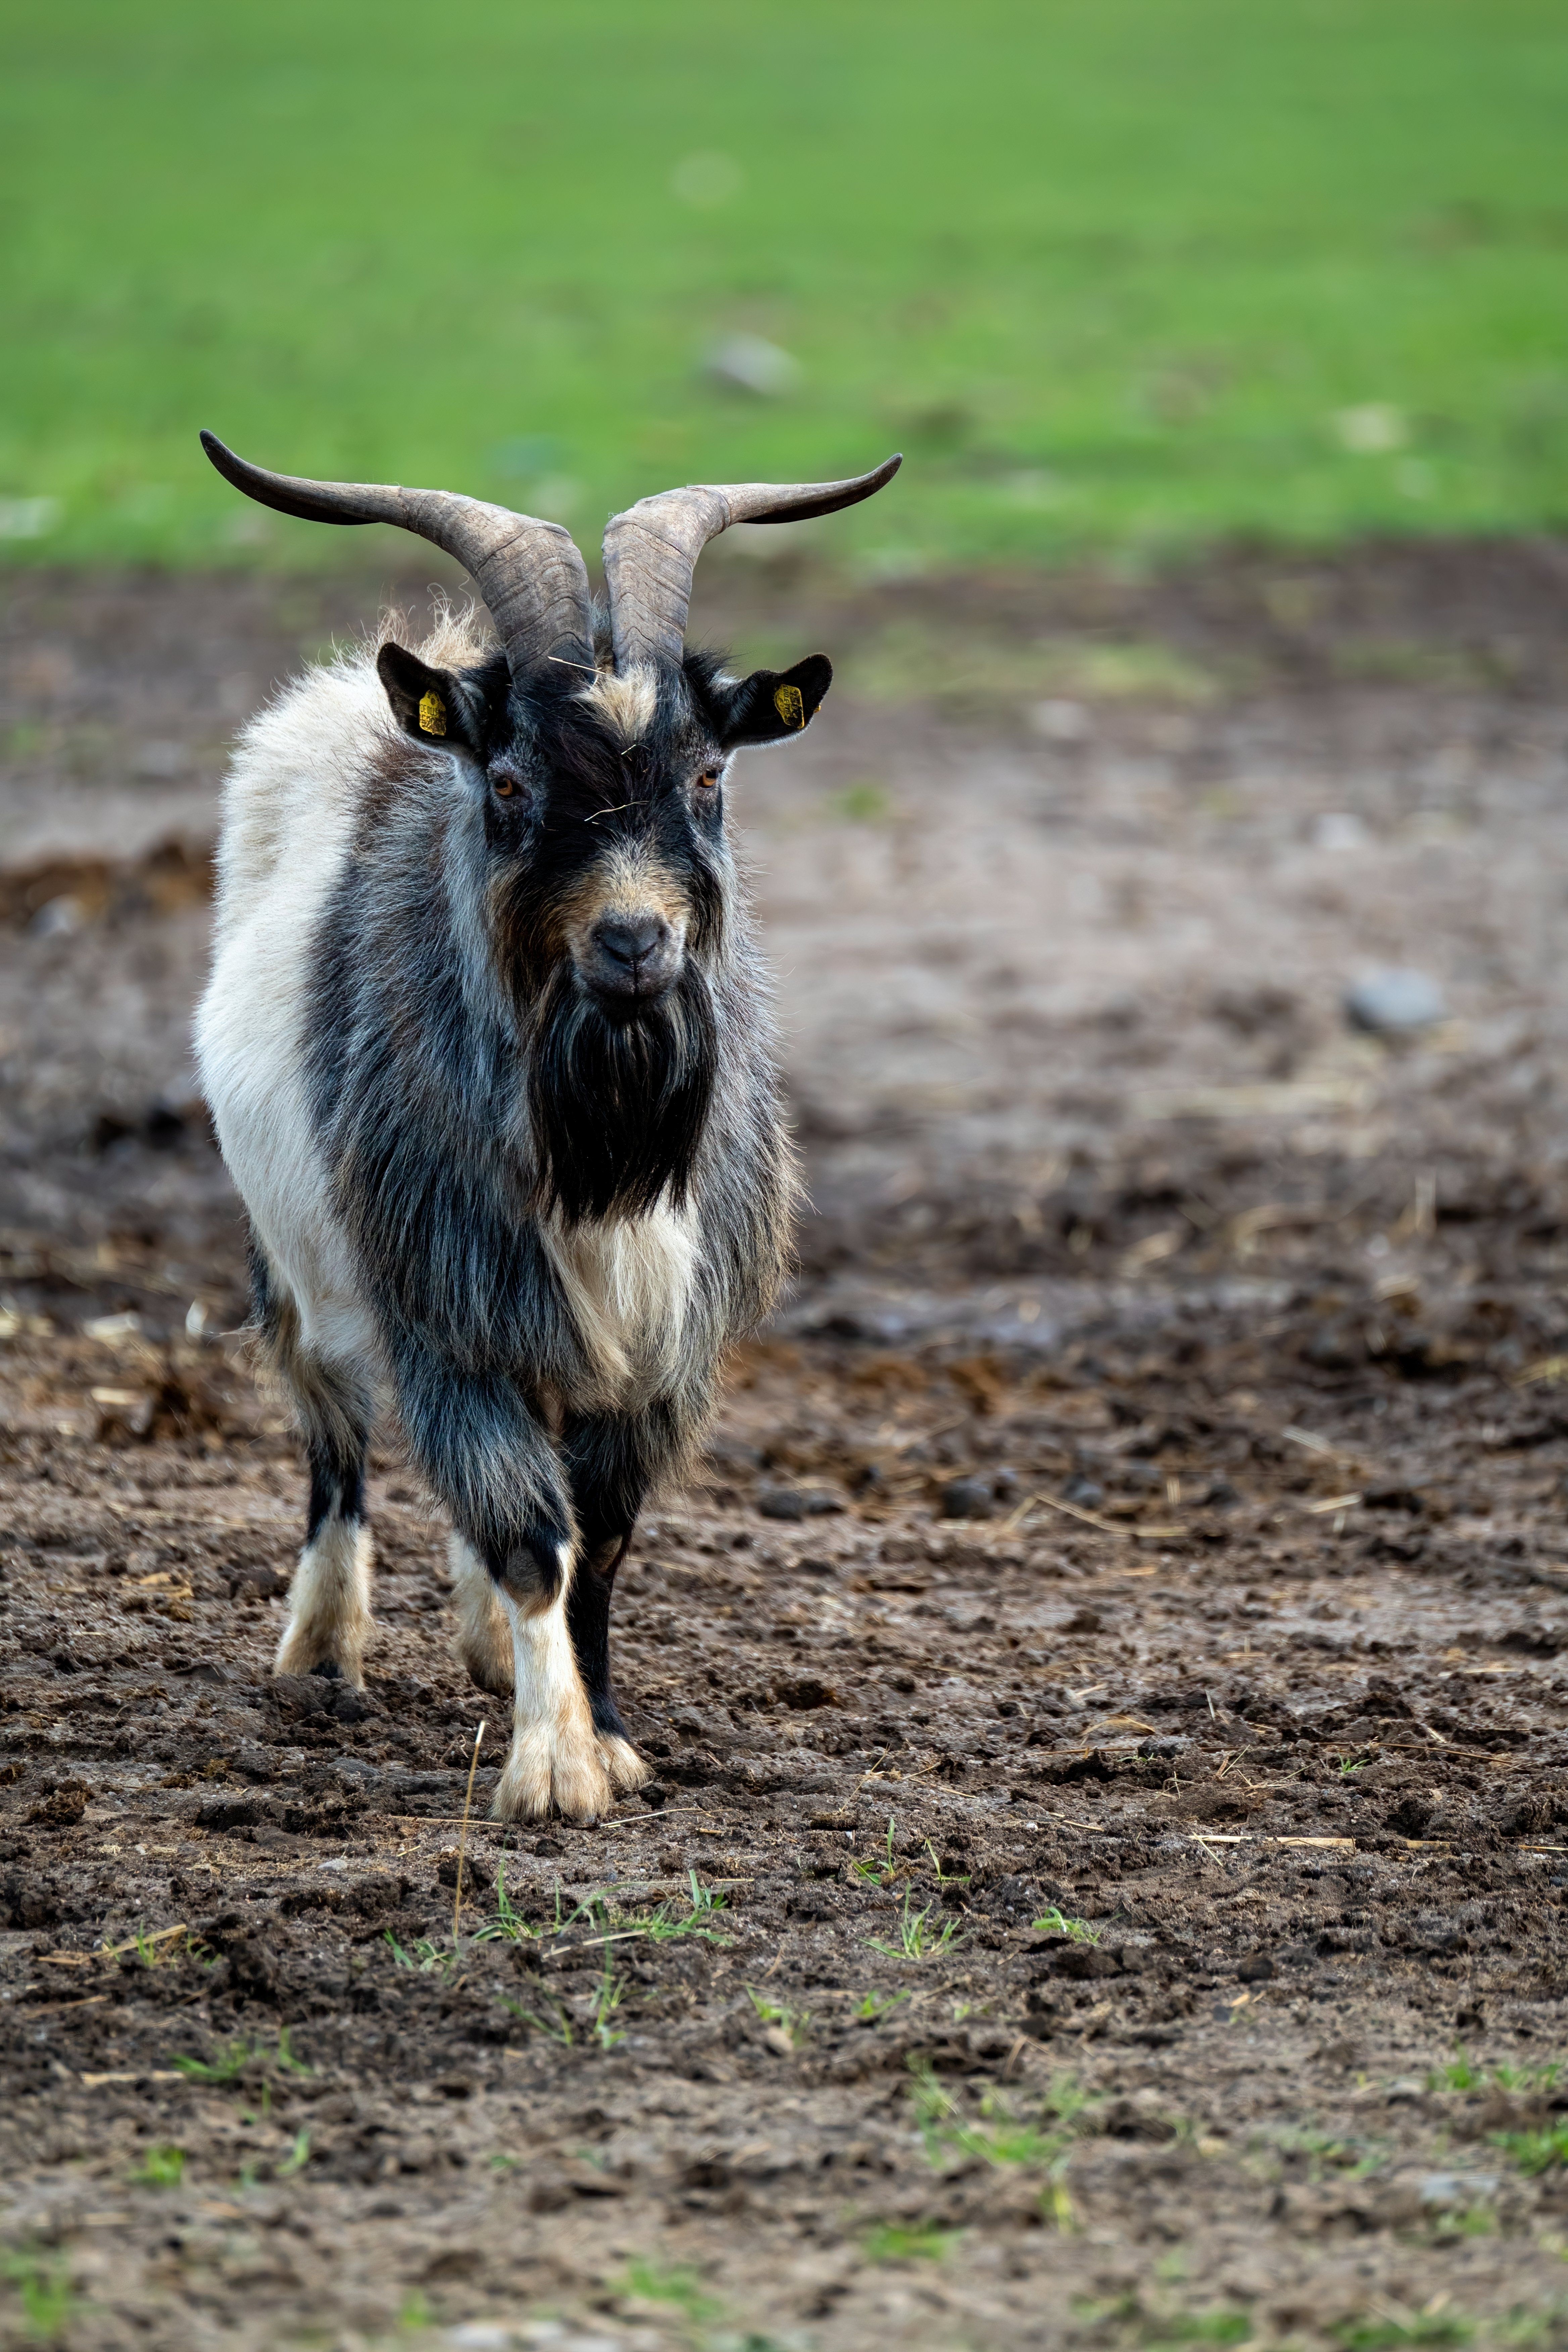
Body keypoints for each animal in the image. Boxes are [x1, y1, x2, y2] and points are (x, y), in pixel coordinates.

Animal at [193, 431, 900, 1820]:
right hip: (293, 1255)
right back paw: (322, 1650)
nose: (633, 942)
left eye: (705, 775)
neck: (600, 1137)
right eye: (514, 780)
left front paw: (609, 1732)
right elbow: (531, 1536)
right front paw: (555, 1767)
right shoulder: (448, 1303)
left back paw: (474, 1648)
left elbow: (601, 1539)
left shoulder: (659, 1344)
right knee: (336, 1440)